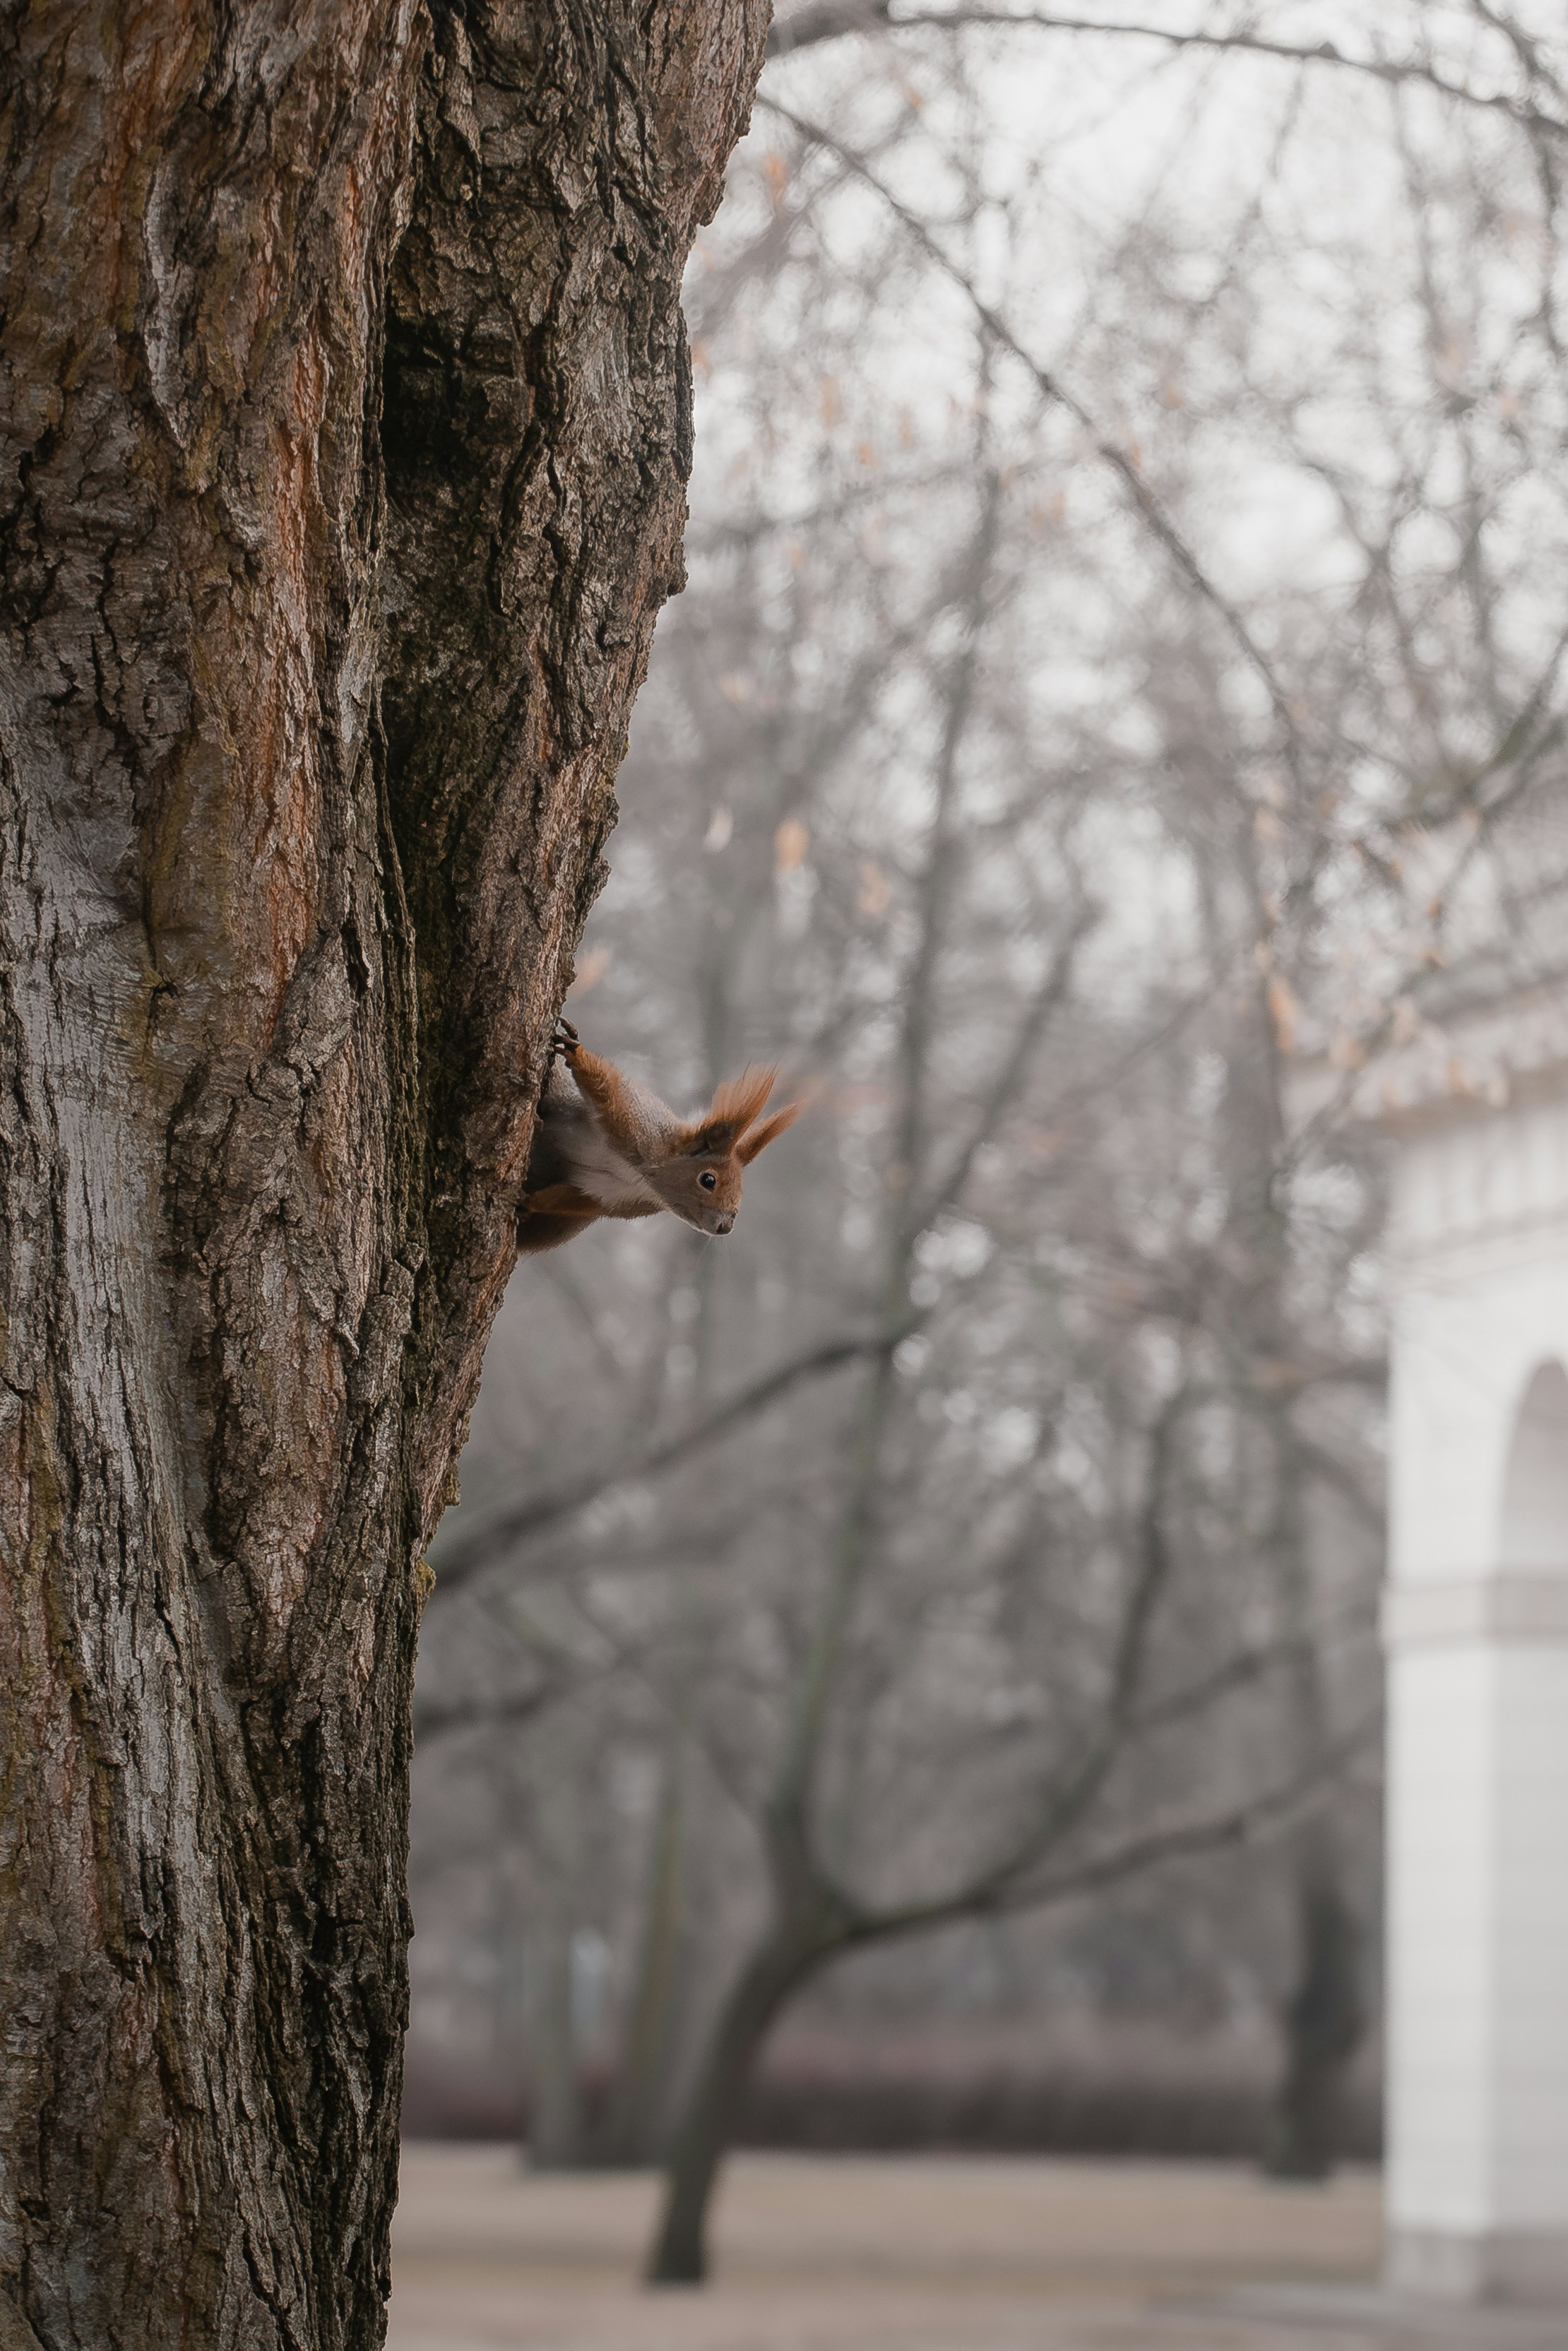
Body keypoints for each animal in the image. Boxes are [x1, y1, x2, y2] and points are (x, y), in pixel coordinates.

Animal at [517, 1021, 801, 1255]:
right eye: (708, 1180)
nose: (726, 1227)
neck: (644, 1179)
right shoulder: (638, 1125)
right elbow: (607, 1087)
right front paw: (576, 1052)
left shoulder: (612, 1196)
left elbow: (566, 1198)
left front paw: (528, 1202)